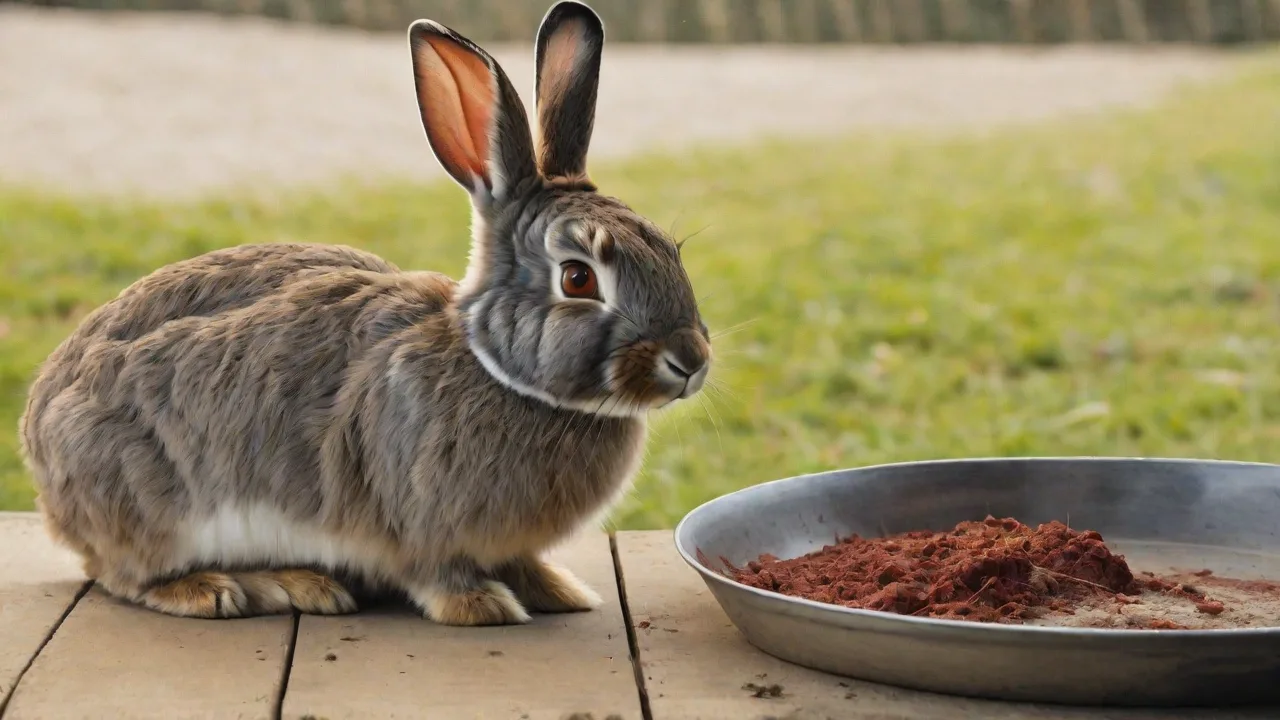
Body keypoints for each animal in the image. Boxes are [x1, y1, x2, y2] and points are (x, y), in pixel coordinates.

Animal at [17, 0, 711, 626]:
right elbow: (437, 574)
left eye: (669, 249)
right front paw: (481, 606)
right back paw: (243, 588)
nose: (691, 362)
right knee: (123, 577)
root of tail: (40, 449)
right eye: (578, 277)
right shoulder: (420, 524)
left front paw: (559, 591)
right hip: (155, 507)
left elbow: (523, 563)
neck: (493, 366)